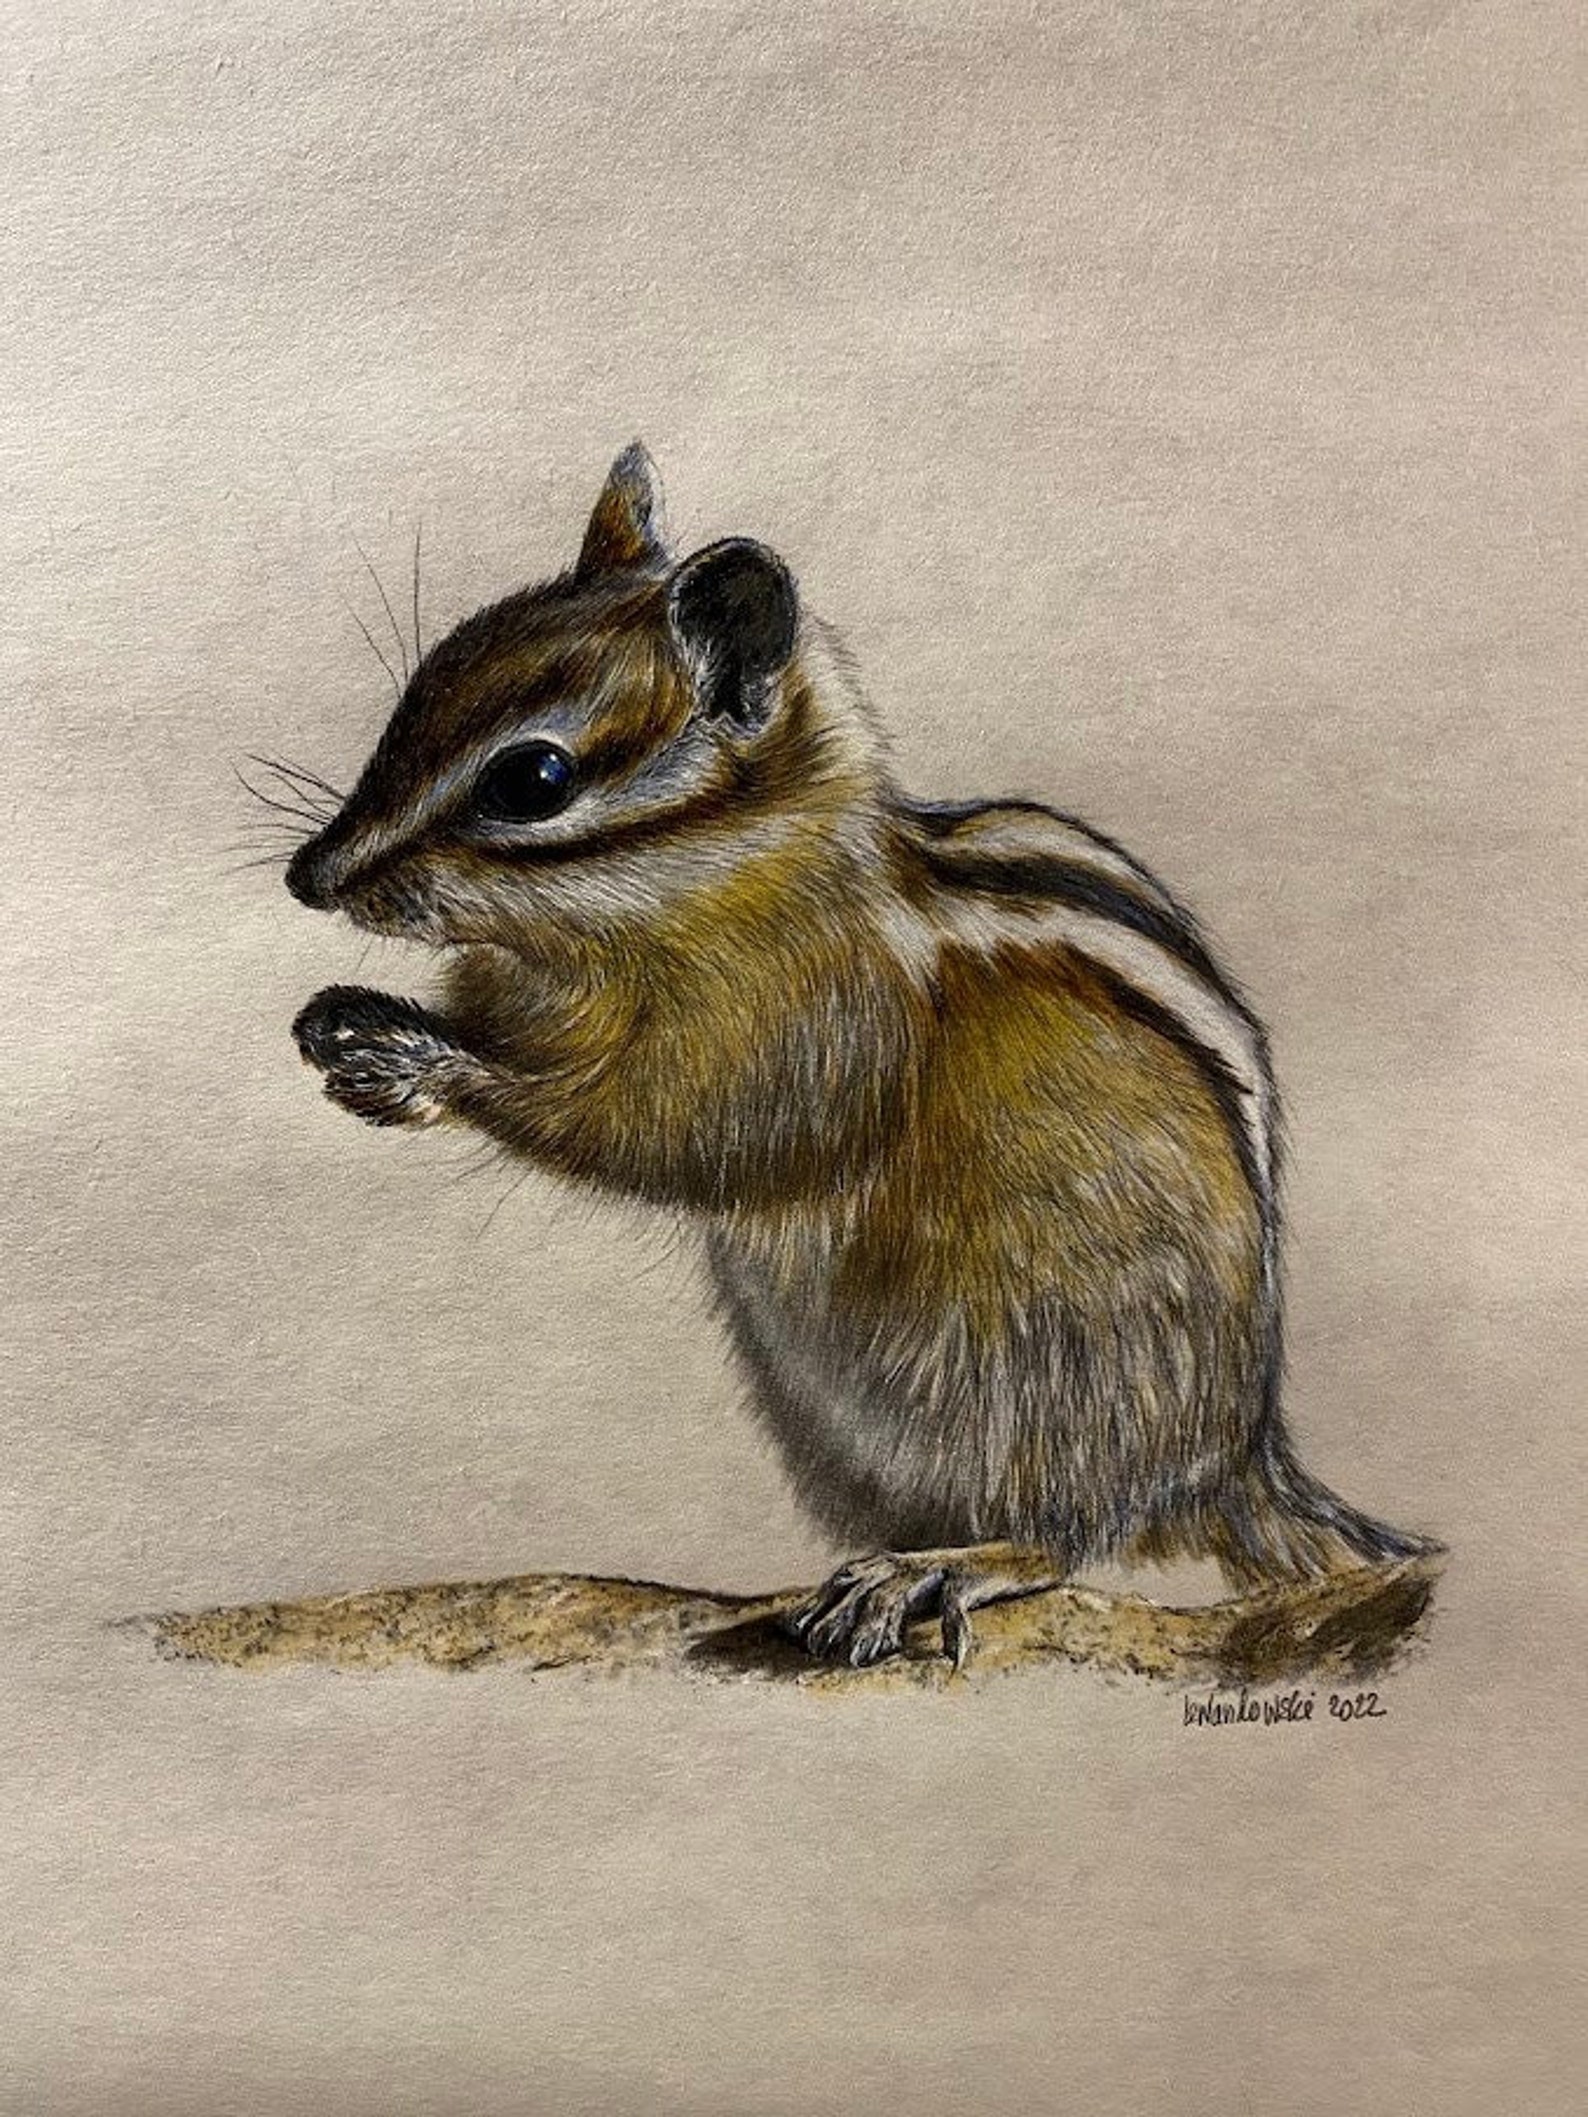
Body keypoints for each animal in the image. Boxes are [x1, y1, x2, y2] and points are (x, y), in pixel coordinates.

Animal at [281, 443, 1437, 1670]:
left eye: (532, 780)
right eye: (426, 677)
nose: (310, 876)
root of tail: (1238, 1459)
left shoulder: (800, 1043)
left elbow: (657, 1134)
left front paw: (421, 1064)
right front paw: (340, 1020)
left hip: (1058, 1381)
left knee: (1075, 1536)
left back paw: (936, 1570)